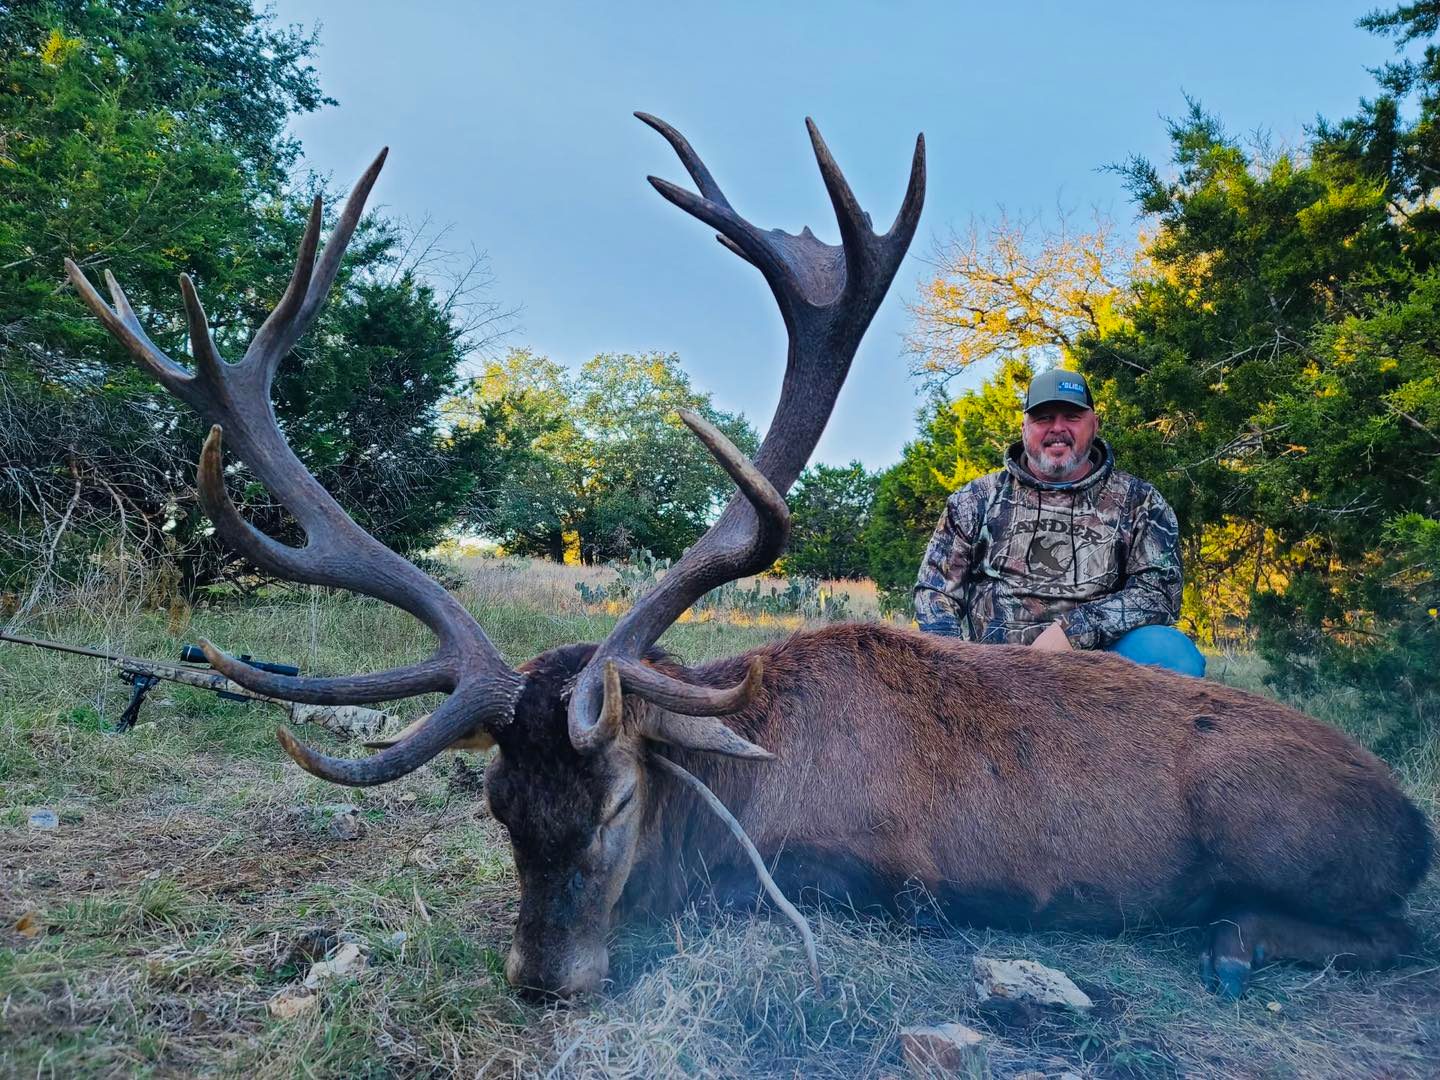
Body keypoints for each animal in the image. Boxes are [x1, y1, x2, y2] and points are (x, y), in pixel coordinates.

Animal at [67, 113, 1432, 1003]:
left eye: (619, 802)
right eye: (496, 806)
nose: (543, 981)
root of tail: (1413, 815)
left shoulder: (881, 874)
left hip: (1282, 828)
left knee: (1390, 931)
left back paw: (1233, 942)